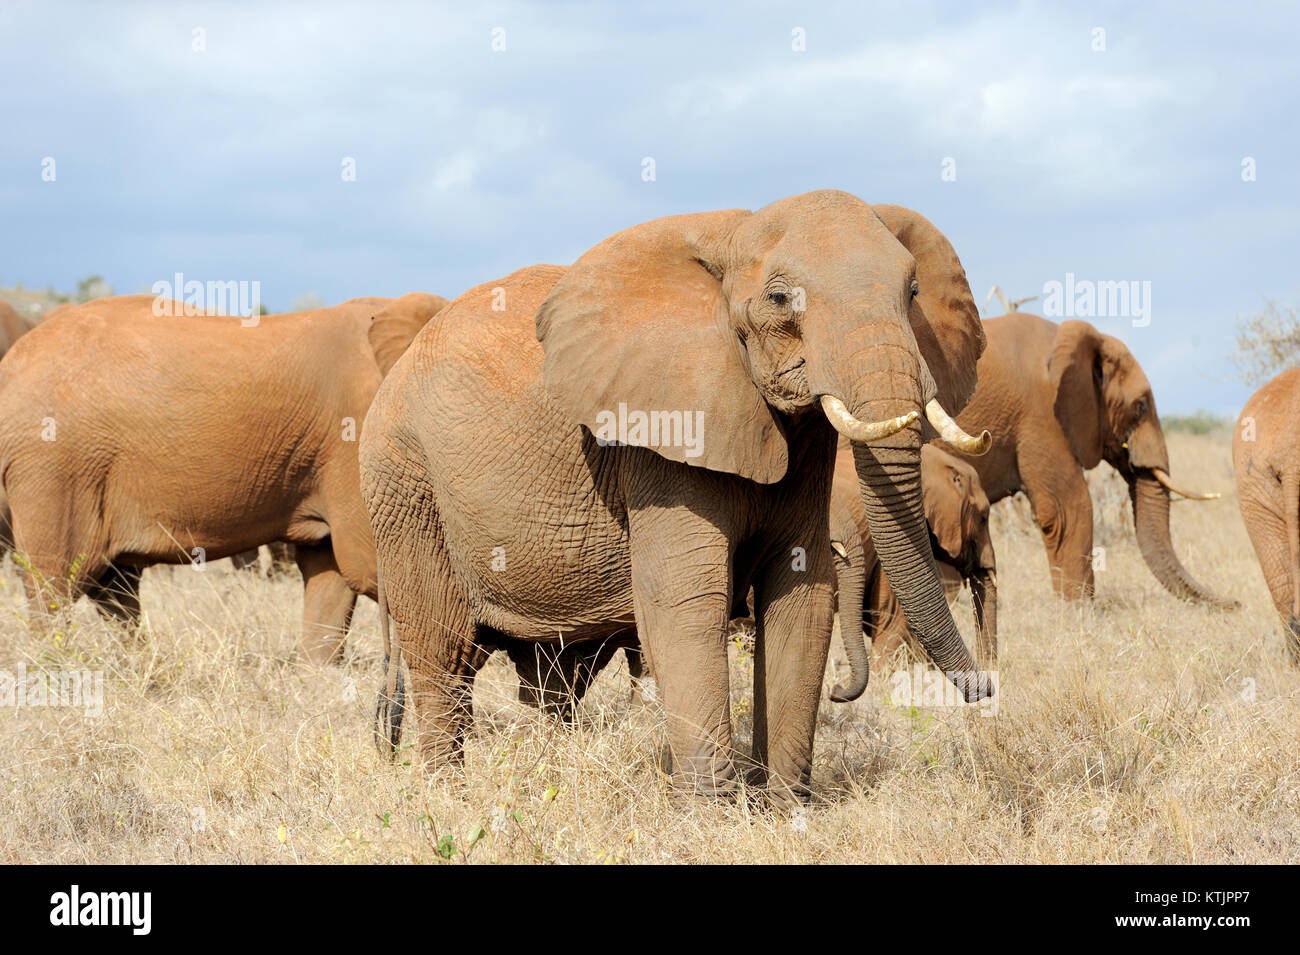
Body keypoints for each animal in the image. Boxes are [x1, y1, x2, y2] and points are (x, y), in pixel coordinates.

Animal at [0, 291, 447, 661]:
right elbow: (367, 564)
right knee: (55, 584)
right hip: (55, 466)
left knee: (115, 589)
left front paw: (320, 680)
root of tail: (11, 364)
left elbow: (331, 573)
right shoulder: (355, 432)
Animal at [360, 190, 995, 801]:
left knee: (549, 678)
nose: (988, 688)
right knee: (443, 655)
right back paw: (447, 795)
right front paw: (709, 812)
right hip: (406, 484)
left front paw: (786, 809)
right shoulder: (660, 435)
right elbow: (686, 597)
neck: (735, 236)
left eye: (912, 293)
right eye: (780, 299)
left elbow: (801, 593)